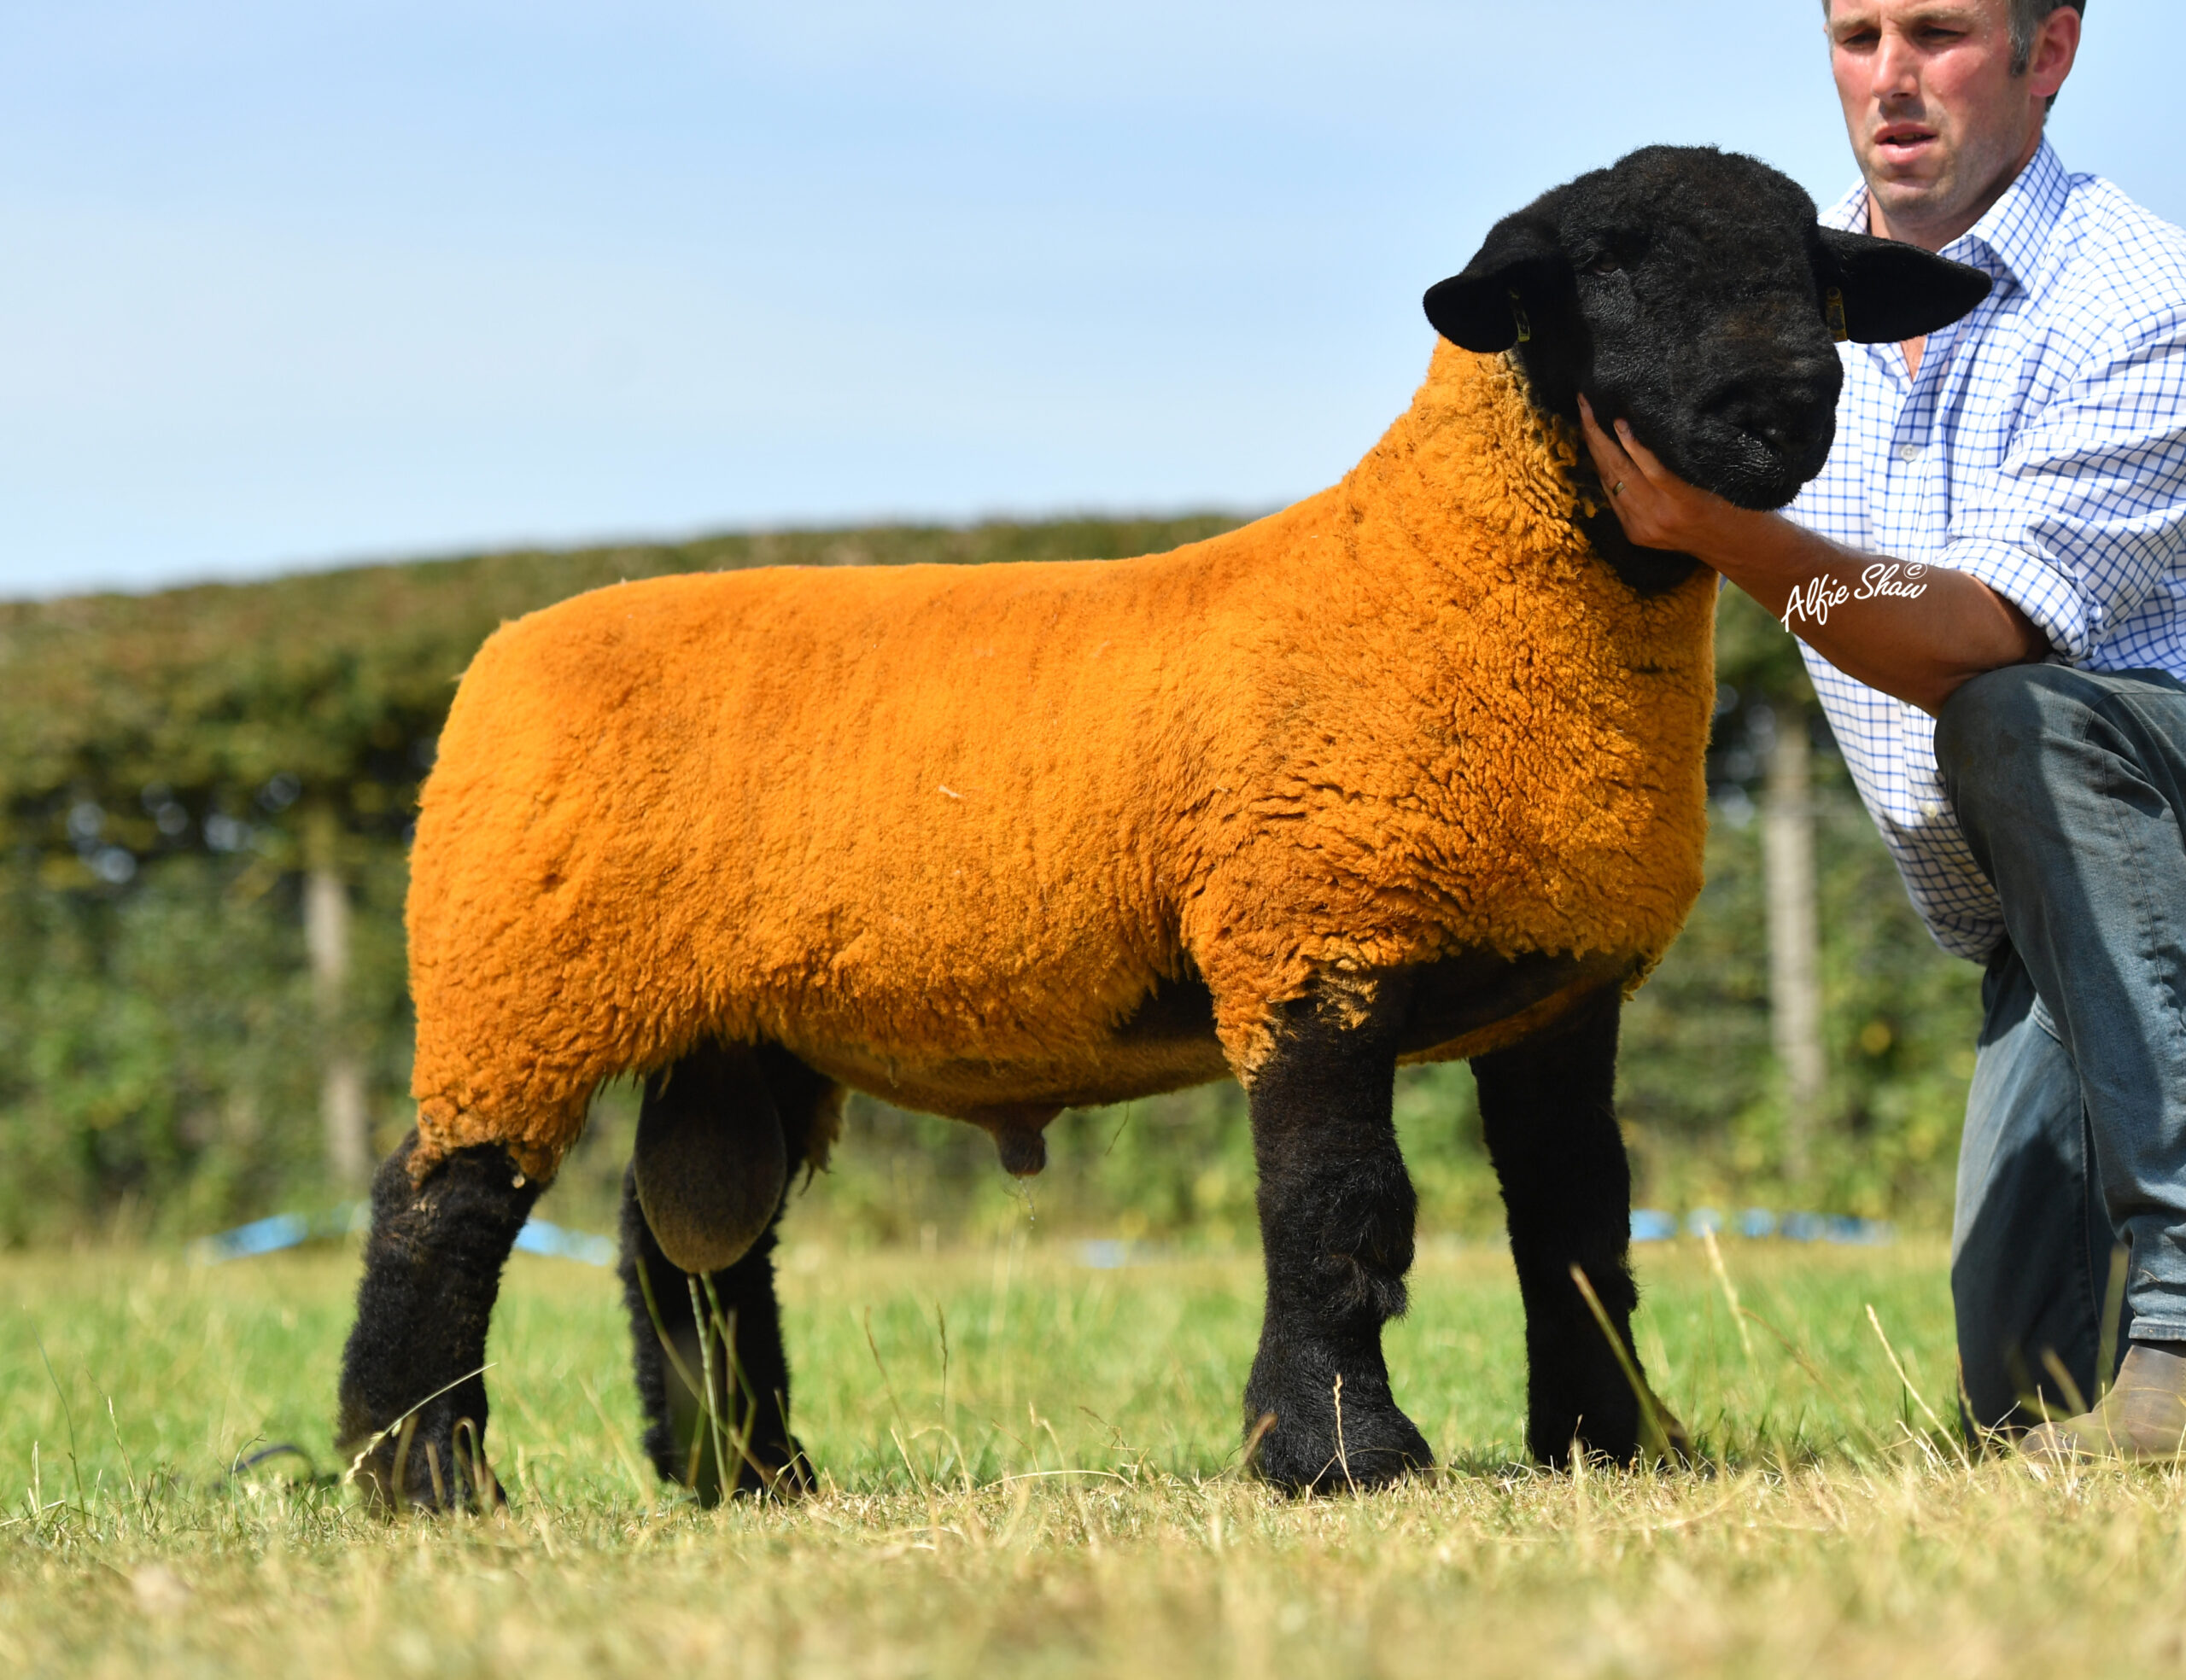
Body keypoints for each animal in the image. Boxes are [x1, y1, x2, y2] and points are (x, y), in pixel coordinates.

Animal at [335, 145, 1990, 1505]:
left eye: (1811, 271)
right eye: (1609, 265)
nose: (1783, 411)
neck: (1441, 583)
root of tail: (508, 650)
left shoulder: (1558, 992)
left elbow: (1577, 1222)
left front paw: (1616, 1441)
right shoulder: (1308, 940)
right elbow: (1338, 1209)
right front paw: (1339, 1454)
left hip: (727, 1027)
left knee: (681, 1248)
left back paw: (747, 1475)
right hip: (516, 980)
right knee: (437, 1213)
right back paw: (417, 1474)